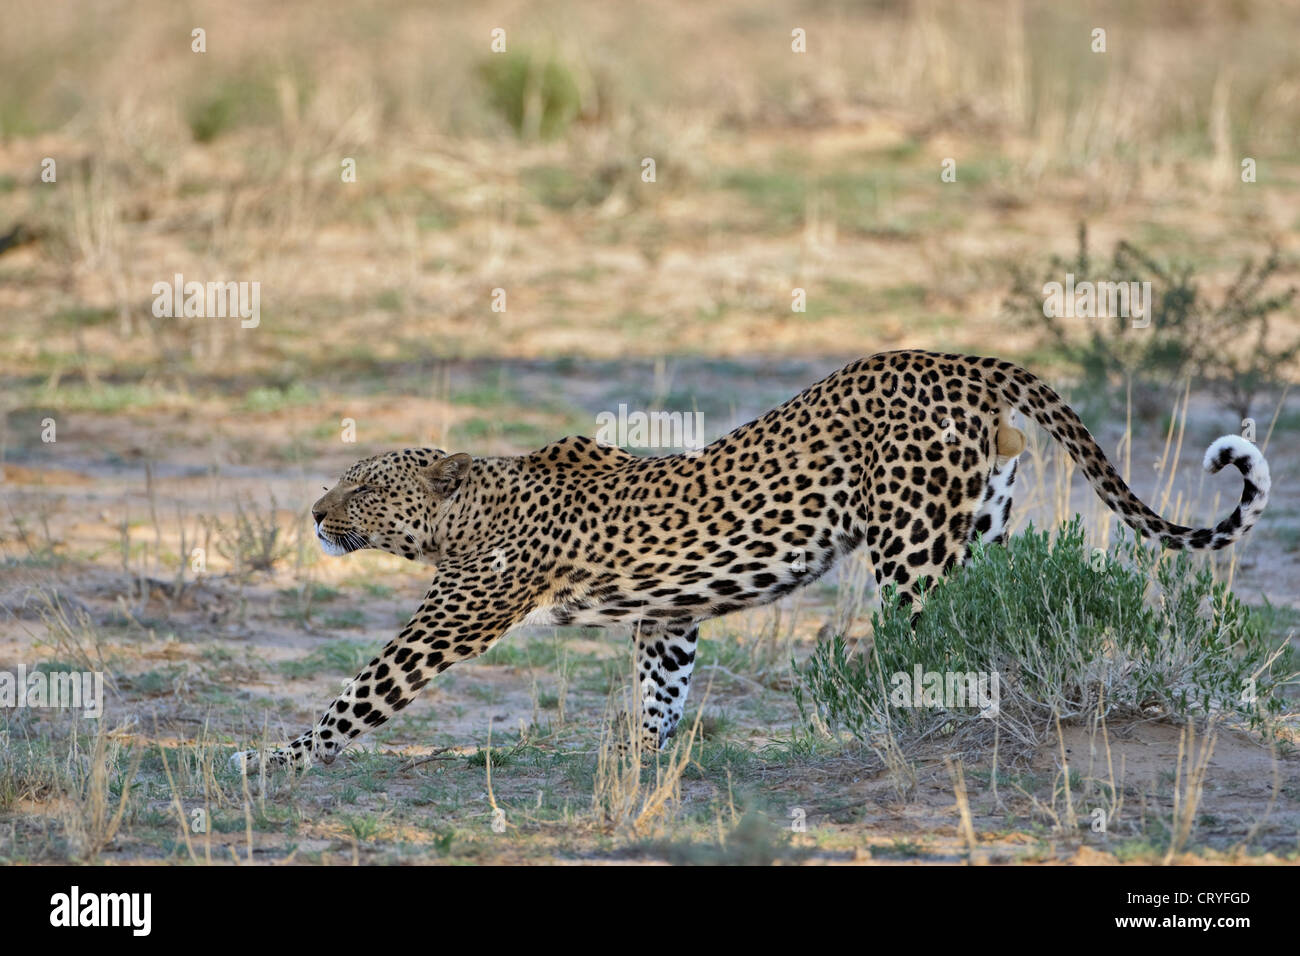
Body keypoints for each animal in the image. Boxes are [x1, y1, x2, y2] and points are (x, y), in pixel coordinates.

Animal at [231, 349, 1270, 773]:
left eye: (363, 486)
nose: (315, 514)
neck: (477, 502)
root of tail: (963, 360)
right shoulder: (667, 618)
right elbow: (661, 690)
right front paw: (645, 761)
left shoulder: (454, 616)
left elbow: (357, 694)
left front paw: (266, 760)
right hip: (981, 529)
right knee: (1001, 614)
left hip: (912, 550)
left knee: (926, 646)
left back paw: (901, 732)